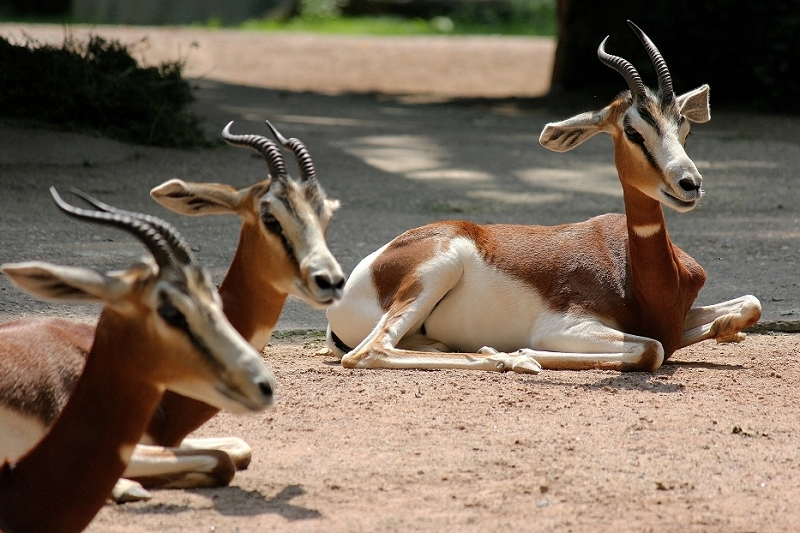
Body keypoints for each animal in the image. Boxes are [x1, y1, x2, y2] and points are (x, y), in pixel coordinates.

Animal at [325, 21, 762, 373]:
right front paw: (521, 352)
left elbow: (750, 304)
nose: (689, 184)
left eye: (684, 129)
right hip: (435, 270)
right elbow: (652, 349)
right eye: (633, 131)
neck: (640, 280)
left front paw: (728, 331)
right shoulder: (567, 327)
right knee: (369, 352)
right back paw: (507, 358)